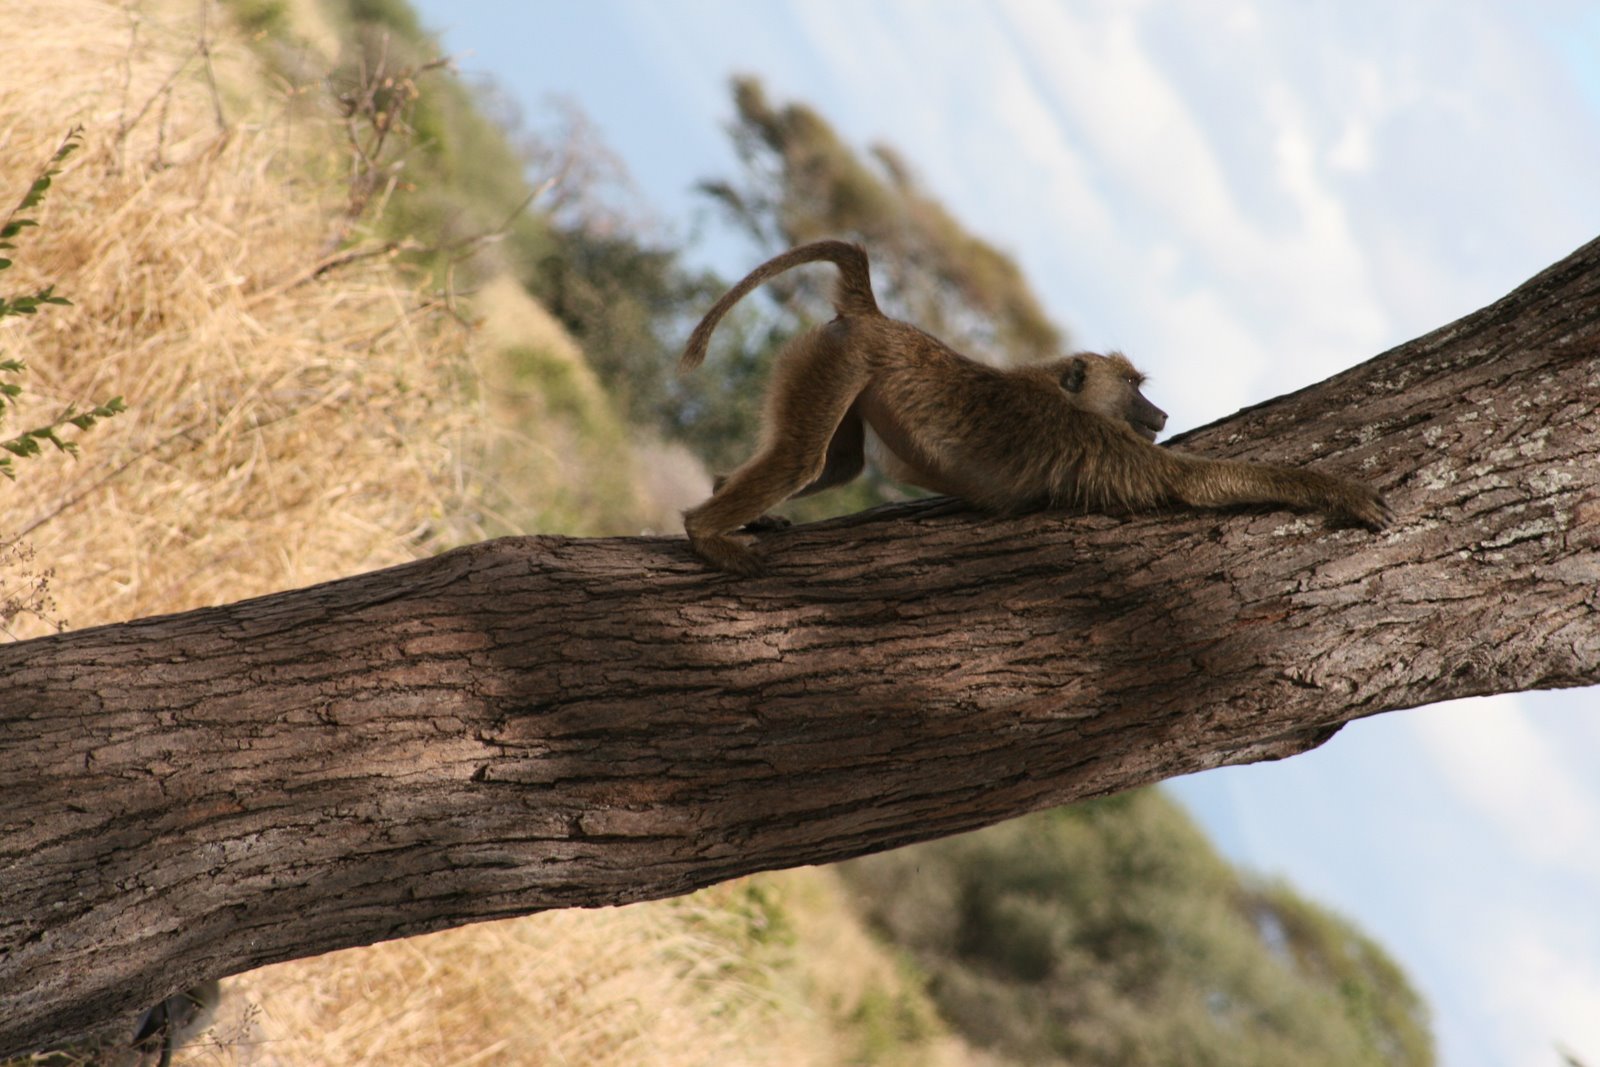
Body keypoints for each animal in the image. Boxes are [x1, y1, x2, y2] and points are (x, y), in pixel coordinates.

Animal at [679, 240, 1390, 576]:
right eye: (1134, 385)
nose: (1161, 415)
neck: (1054, 388)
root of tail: (877, 316)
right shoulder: (1091, 437)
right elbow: (1190, 484)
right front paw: (1339, 491)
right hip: (841, 362)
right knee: (802, 461)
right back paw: (705, 532)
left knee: (836, 466)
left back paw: (734, 504)